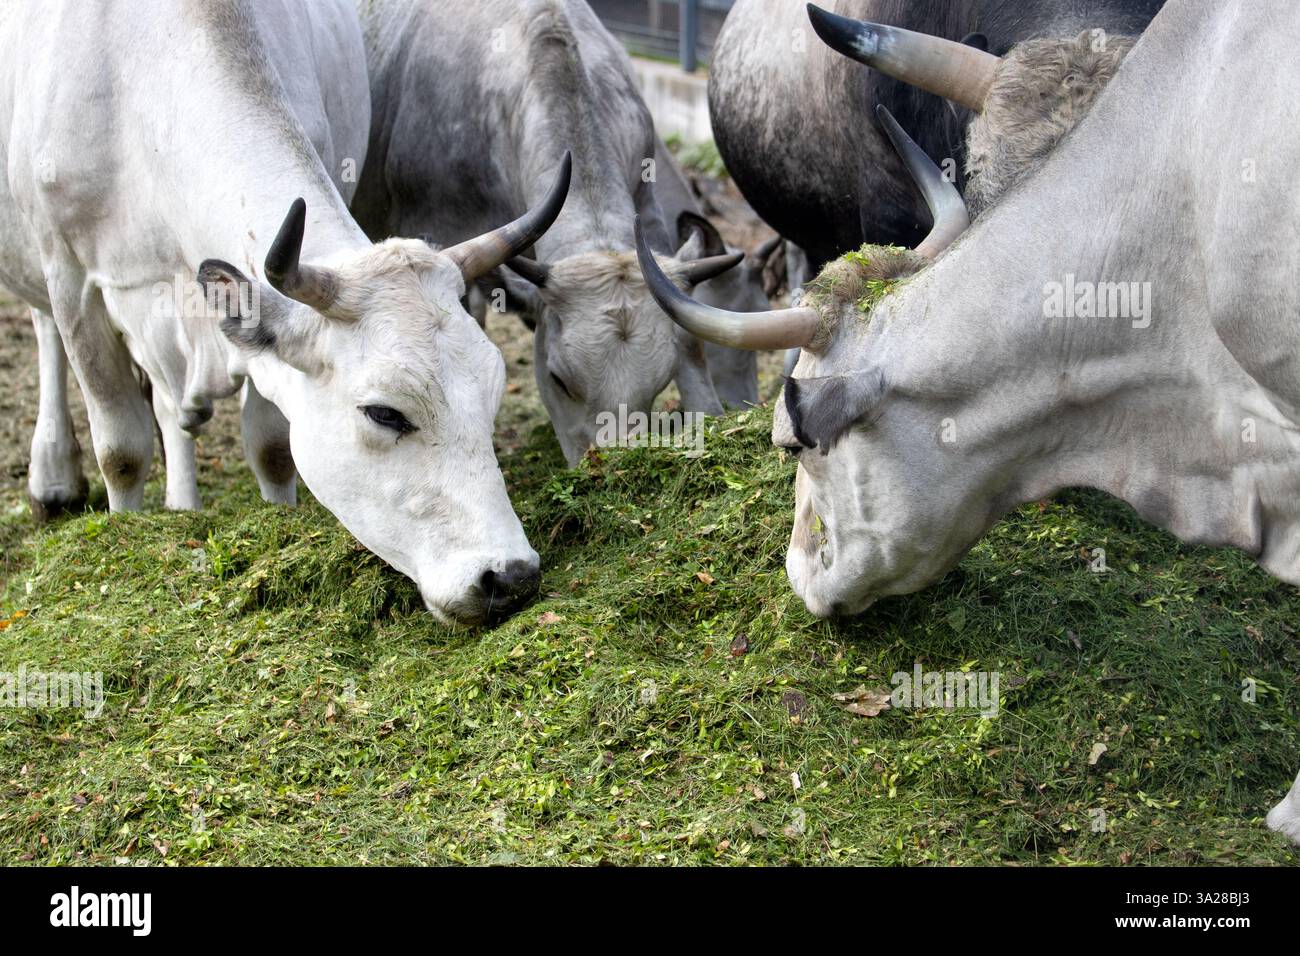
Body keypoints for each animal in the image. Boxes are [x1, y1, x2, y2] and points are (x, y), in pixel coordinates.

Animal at [0, 0, 570, 624]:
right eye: (385, 413)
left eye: (493, 395)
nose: (509, 575)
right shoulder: (70, 277)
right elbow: (122, 449)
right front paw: (125, 532)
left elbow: (271, 449)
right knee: (49, 339)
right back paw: (55, 477)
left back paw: (182, 505)